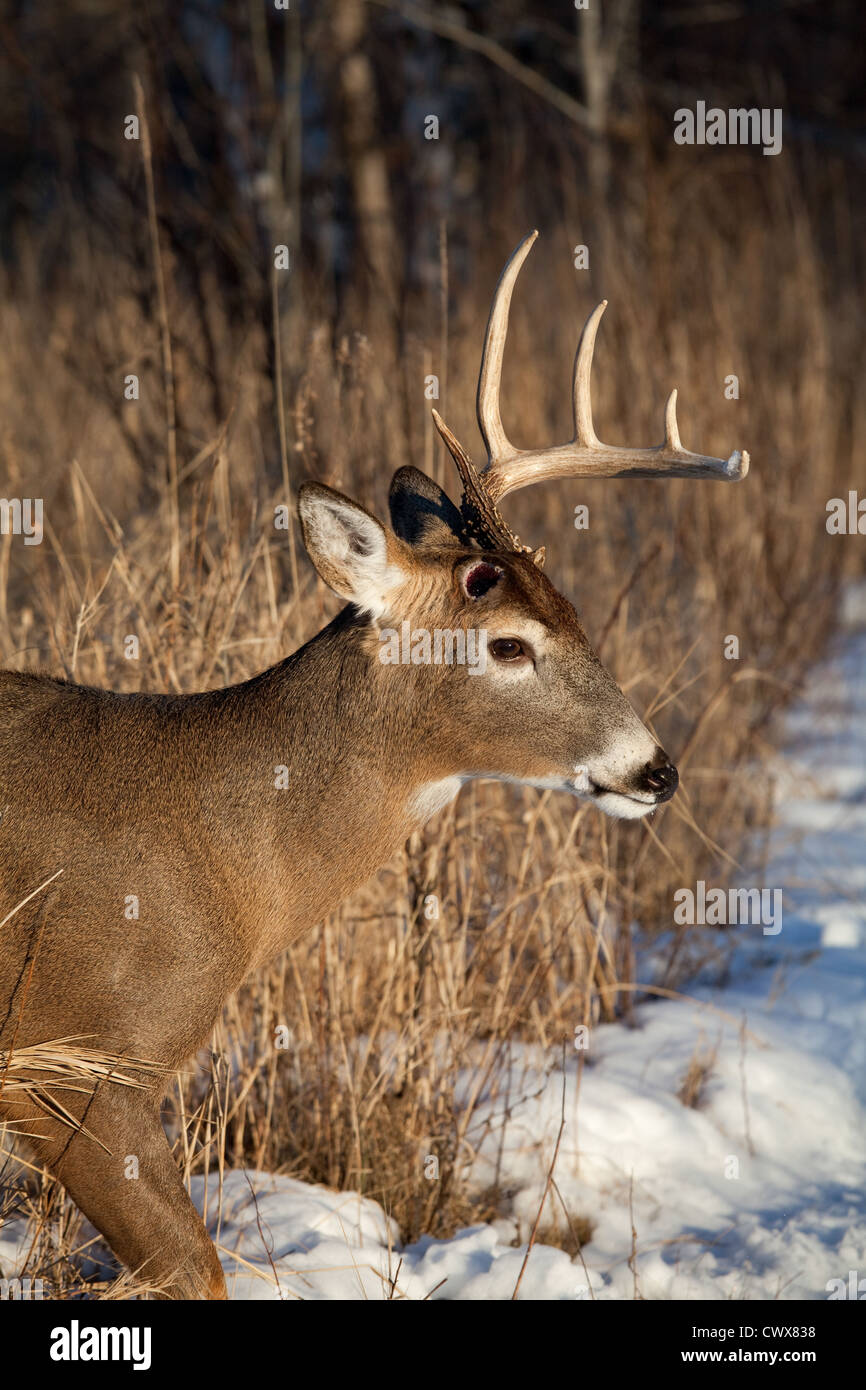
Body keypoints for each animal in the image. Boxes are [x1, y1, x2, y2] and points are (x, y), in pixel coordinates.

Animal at [0, 231, 748, 1299]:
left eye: (574, 613)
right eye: (508, 644)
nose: (654, 770)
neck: (219, 851)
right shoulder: (66, 1056)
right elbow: (195, 1268)